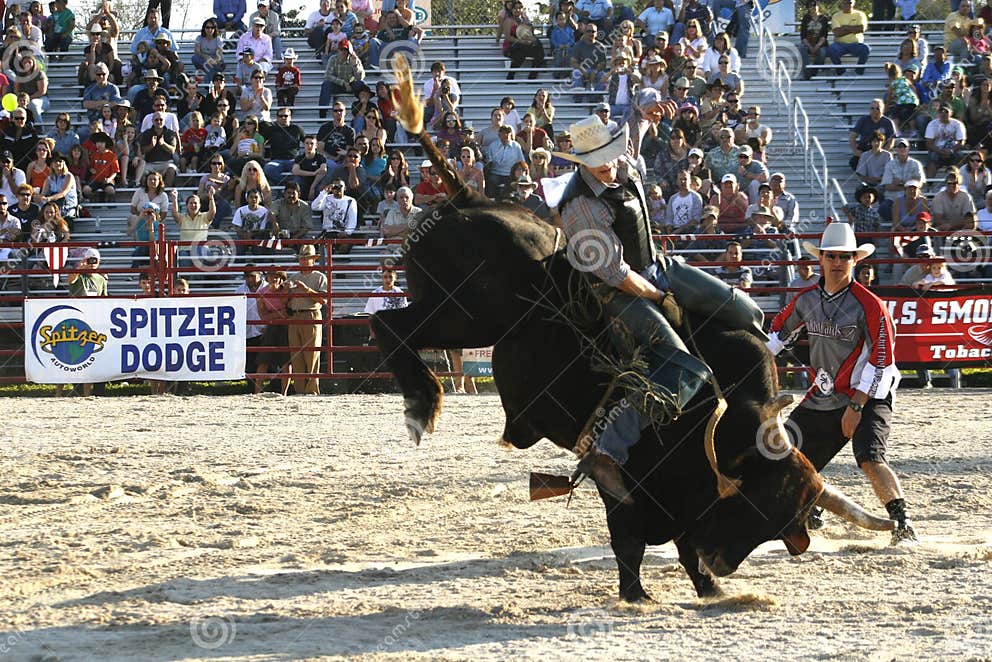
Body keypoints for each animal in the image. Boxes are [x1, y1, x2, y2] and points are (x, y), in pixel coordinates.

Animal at [370, 56, 896, 601]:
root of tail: (471, 194)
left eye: (779, 517)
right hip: (466, 314)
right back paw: (421, 404)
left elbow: (679, 540)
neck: (711, 417)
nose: (723, 561)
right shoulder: (624, 482)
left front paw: (709, 587)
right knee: (389, 324)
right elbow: (628, 536)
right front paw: (638, 595)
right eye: (753, 500)